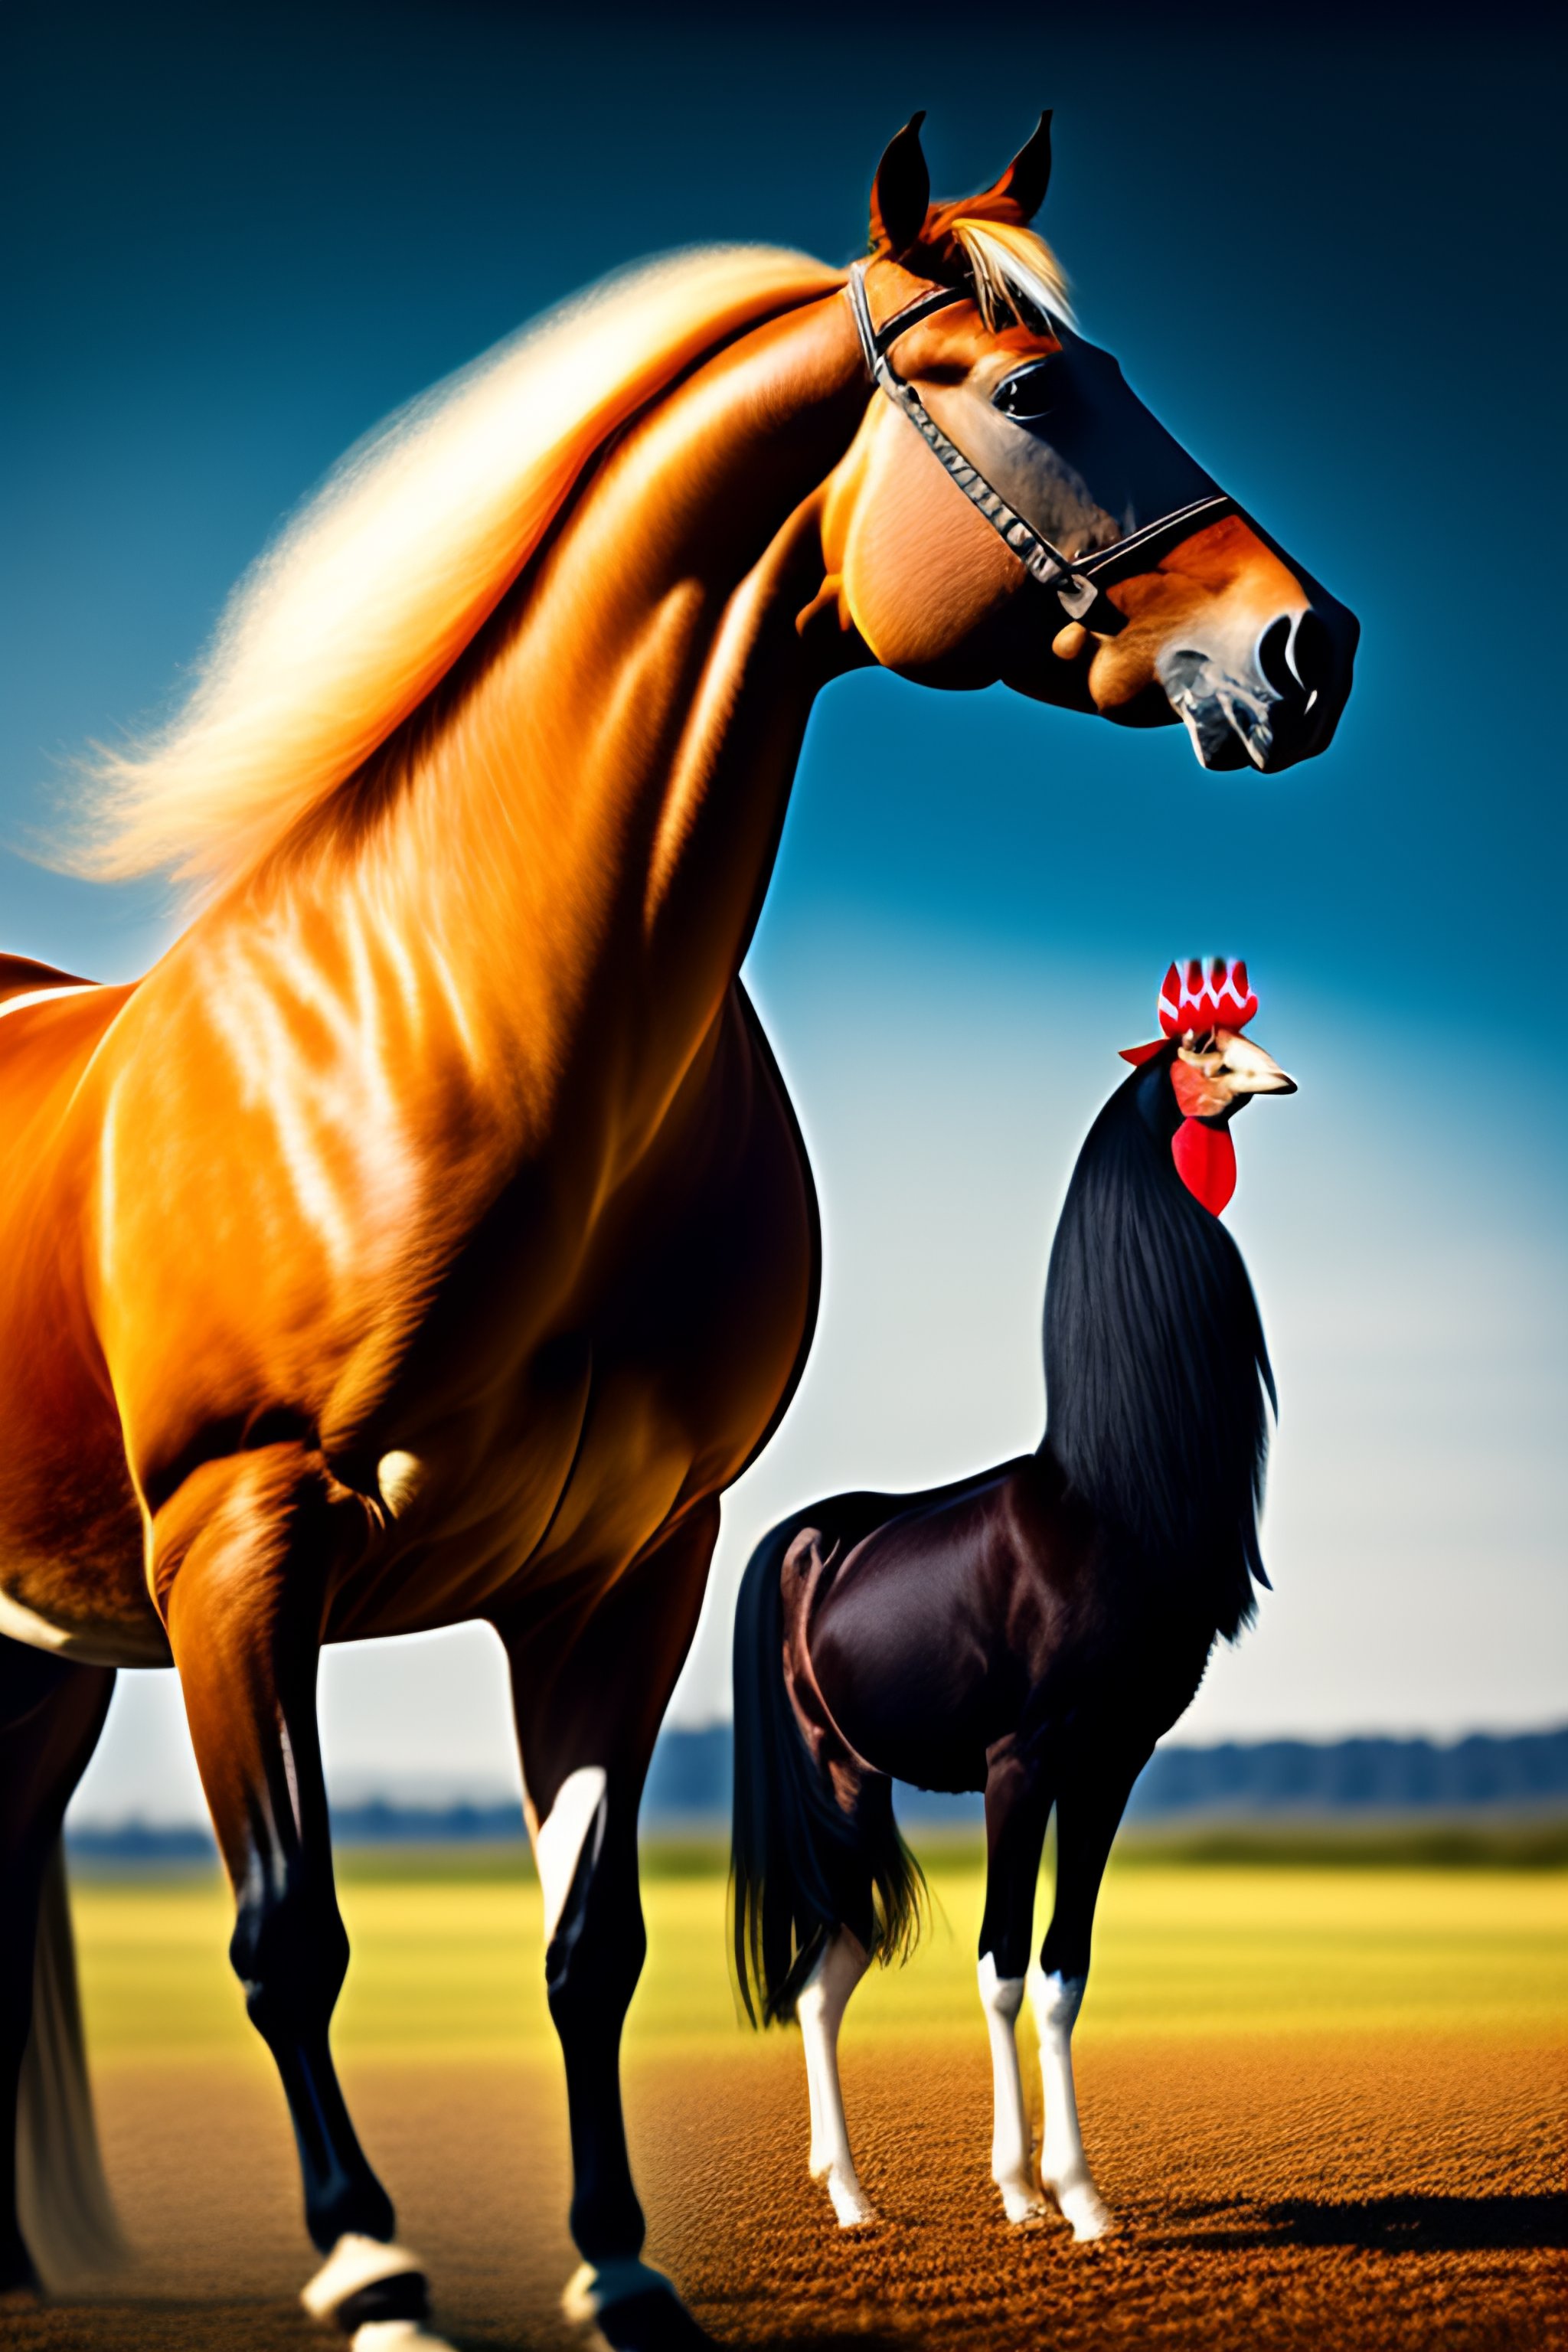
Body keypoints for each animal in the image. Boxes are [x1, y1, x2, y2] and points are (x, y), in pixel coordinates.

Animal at [731, 959, 1293, 2240]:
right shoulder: (1020, 1761)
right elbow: (996, 1970)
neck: (1112, 1499)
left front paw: (1081, 2196)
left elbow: (1062, 1971)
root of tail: (807, 1537)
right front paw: (1028, 2193)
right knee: (819, 1975)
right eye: (1202, 1054)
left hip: (866, 1789)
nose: (1277, 1076)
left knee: (826, 1972)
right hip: (837, 1783)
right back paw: (852, 2201)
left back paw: (845, 2187)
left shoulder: (1112, 1759)